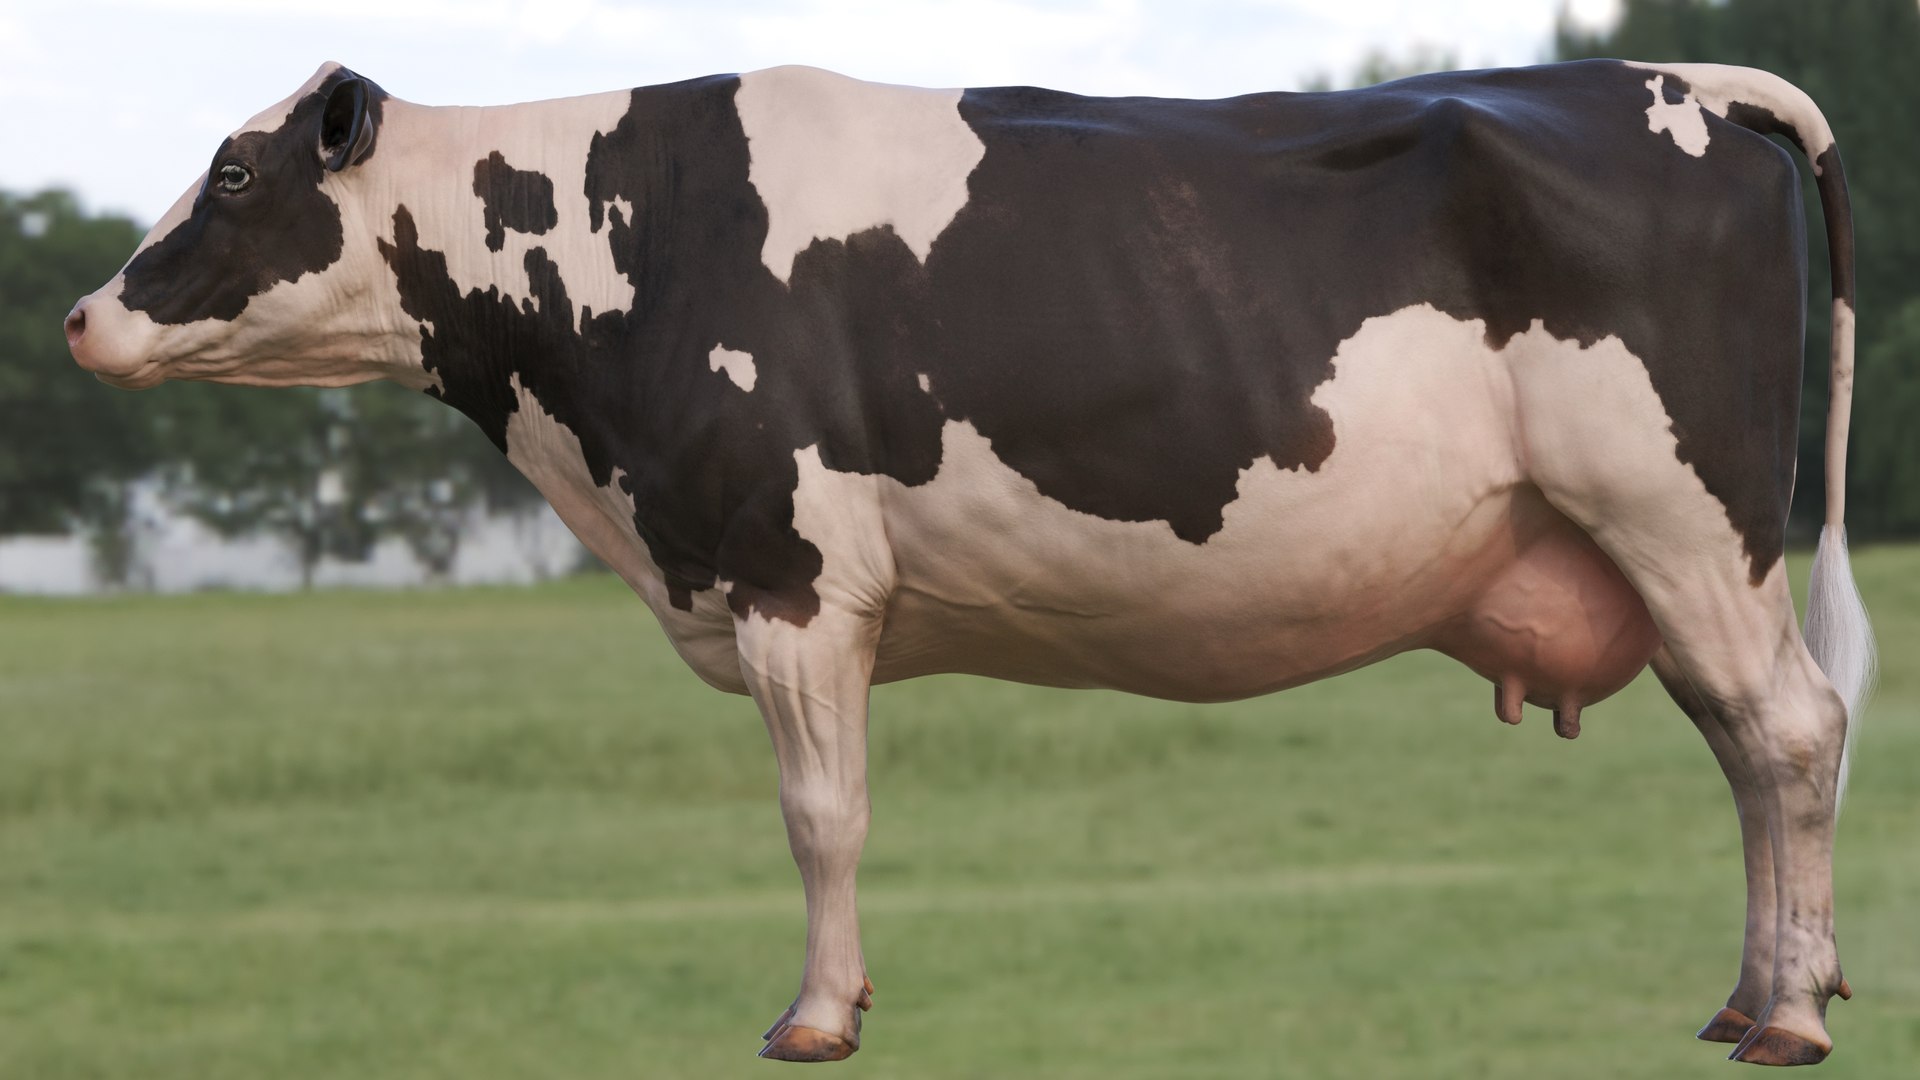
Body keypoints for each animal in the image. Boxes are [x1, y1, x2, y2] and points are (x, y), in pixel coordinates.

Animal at [65, 59, 1874, 1065]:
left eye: (234, 168)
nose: (83, 312)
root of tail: (1684, 80)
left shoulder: (794, 578)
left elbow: (822, 815)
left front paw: (814, 1019)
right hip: (1666, 549)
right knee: (1753, 748)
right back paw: (1750, 996)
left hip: (1682, 512)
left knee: (1789, 734)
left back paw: (1787, 1018)